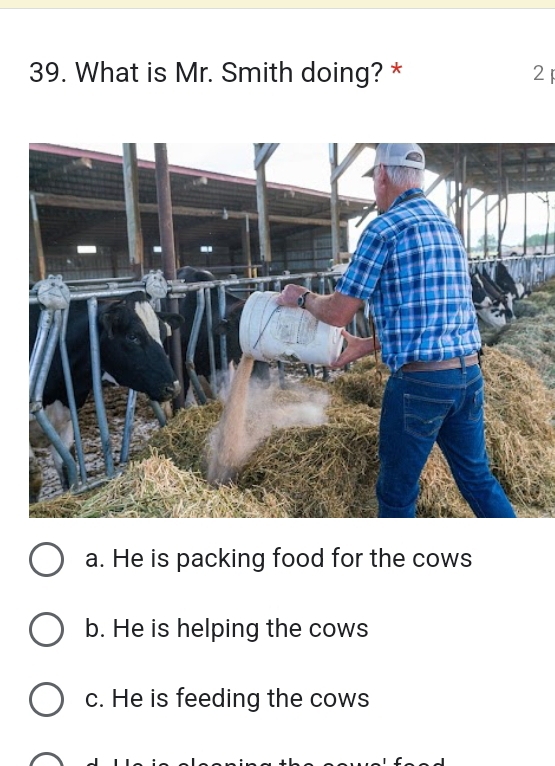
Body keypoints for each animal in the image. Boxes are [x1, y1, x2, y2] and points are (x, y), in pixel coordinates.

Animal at [30, 290, 184, 504]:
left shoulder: (64, 420)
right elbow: (34, 479)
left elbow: (68, 468)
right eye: (132, 336)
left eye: (162, 334)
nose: (173, 387)